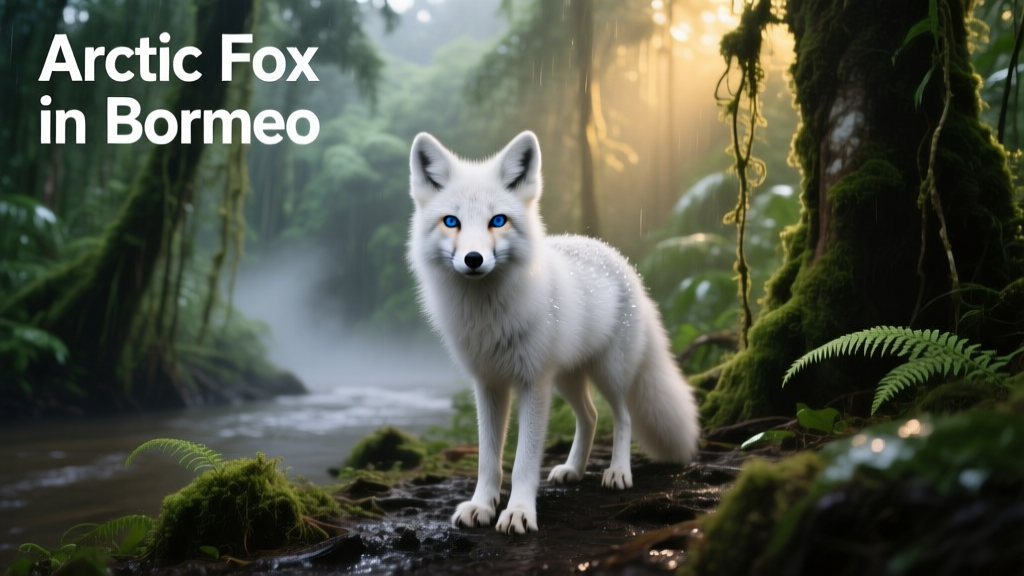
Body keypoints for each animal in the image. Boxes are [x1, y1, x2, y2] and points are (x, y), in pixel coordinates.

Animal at [407, 130, 700, 534]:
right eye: (451, 221)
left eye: (498, 221)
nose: (473, 259)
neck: (488, 314)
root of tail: (620, 260)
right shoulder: (489, 383)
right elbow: (488, 459)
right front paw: (482, 505)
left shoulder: (533, 382)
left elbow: (524, 461)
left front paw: (518, 512)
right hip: (566, 378)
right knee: (590, 417)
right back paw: (574, 469)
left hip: (608, 372)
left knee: (621, 418)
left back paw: (617, 472)